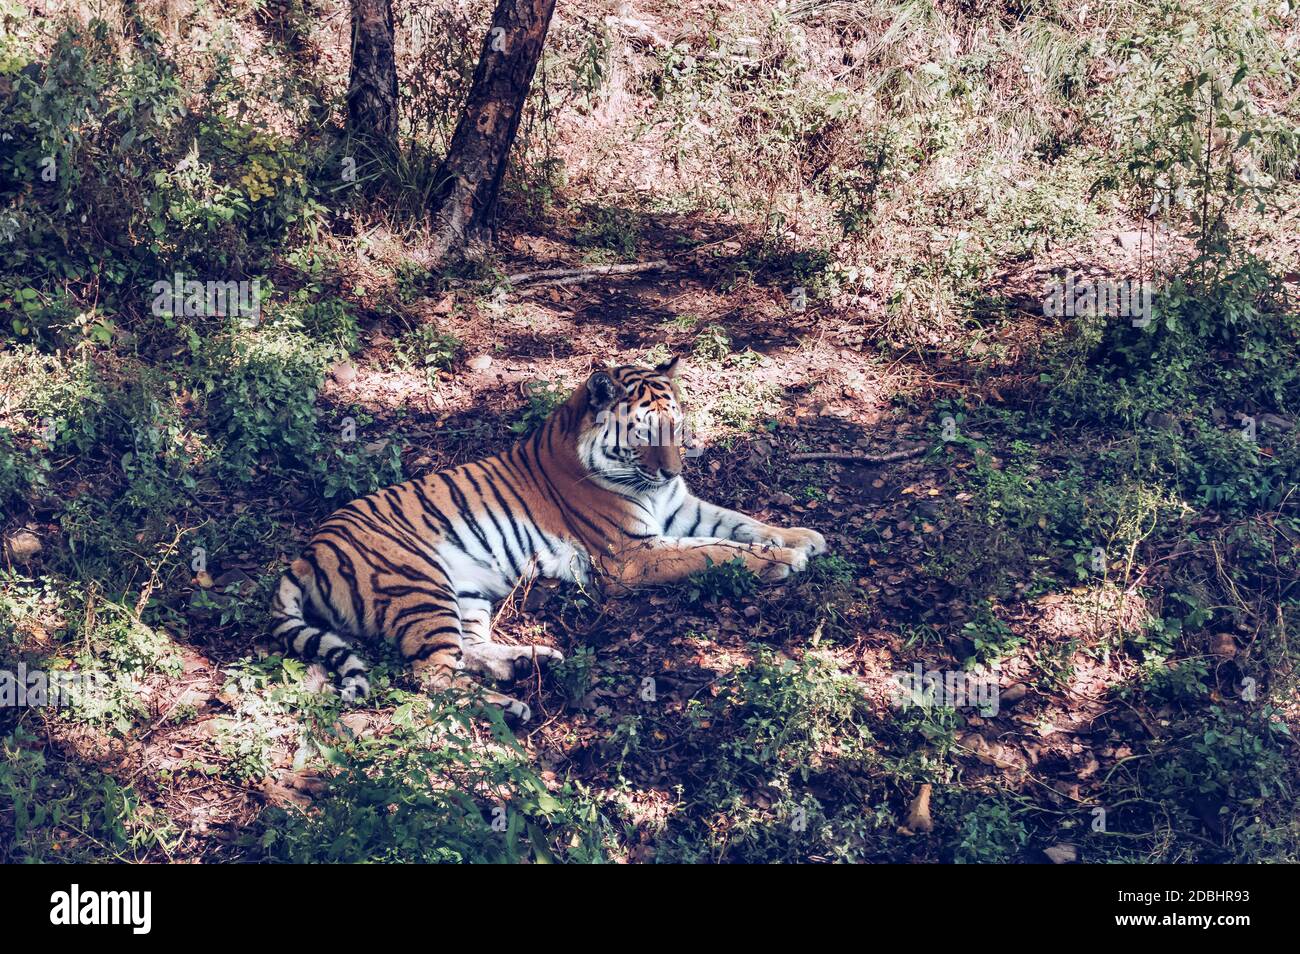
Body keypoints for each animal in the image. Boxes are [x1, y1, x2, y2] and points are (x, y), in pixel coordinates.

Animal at [269, 357, 828, 723]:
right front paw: (784, 560)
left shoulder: (679, 509)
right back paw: (510, 705)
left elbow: (738, 522)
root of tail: (306, 554)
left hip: (465, 592)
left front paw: (803, 537)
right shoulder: (631, 556)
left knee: (468, 650)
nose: (673, 471)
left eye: (677, 425)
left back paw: (529, 660)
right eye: (645, 433)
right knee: (433, 677)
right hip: (419, 585)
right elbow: (715, 552)